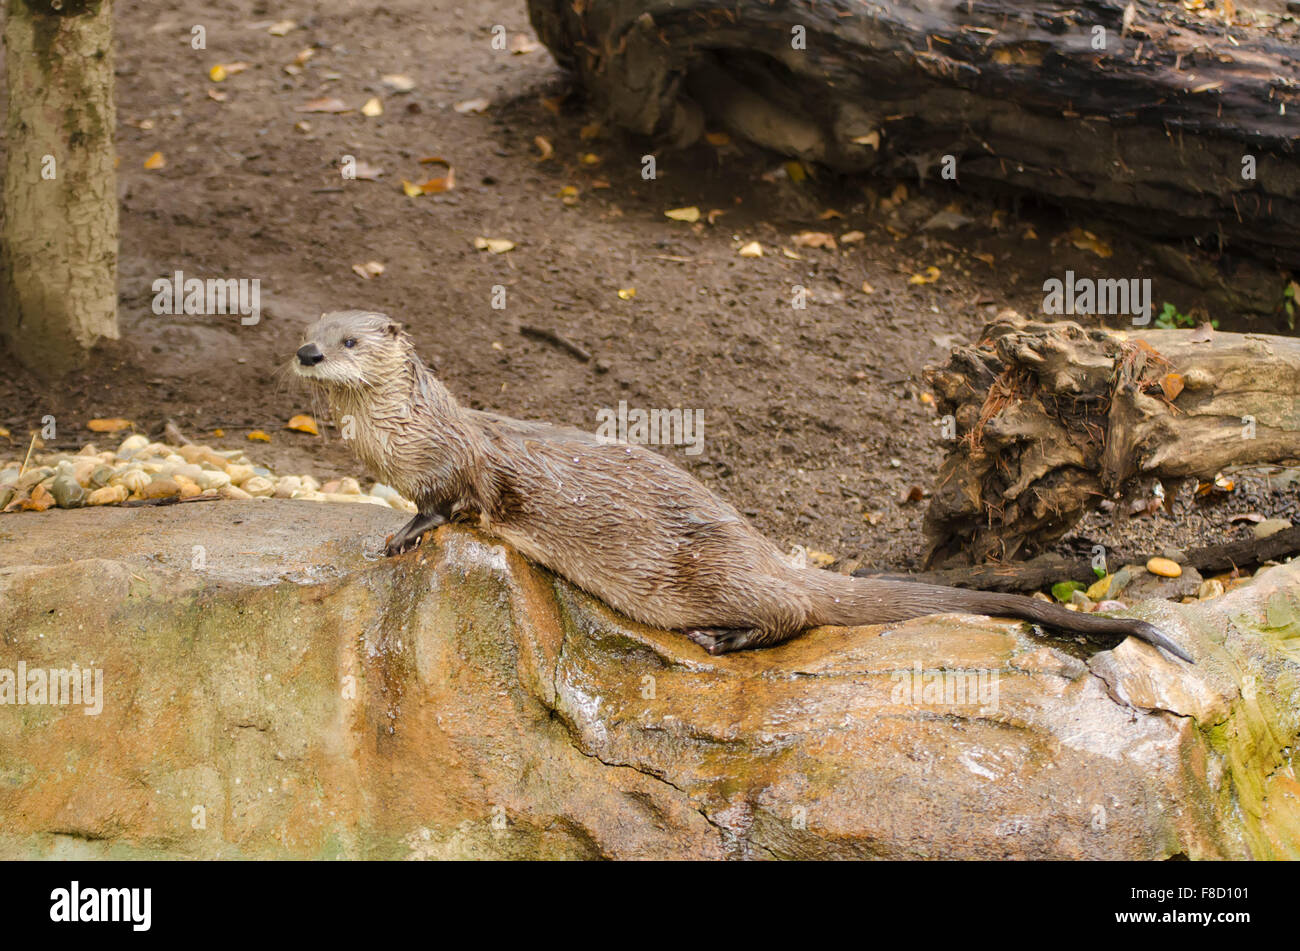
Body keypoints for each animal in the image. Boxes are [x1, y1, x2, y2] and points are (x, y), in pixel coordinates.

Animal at [293, 310, 1193, 663]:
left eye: (348, 339)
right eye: (308, 331)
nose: (307, 353)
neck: (402, 438)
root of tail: (768, 553)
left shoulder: (459, 461)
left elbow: (451, 502)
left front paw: (405, 531)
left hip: (710, 575)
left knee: (791, 613)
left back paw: (723, 638)